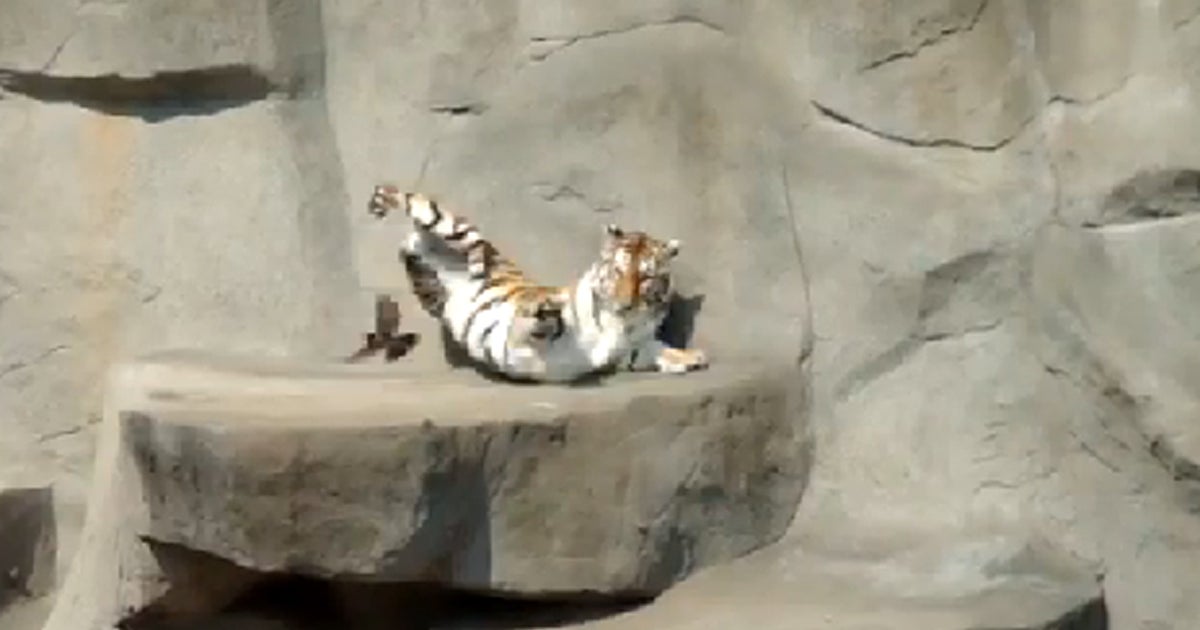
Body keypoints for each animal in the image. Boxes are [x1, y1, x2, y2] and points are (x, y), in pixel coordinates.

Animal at [367, 184, 709, 383]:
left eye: (646, 277)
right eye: (617, 272)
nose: (625, 305)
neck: (621, 323)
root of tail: (421, 243)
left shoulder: (630, 349)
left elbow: (658, 350)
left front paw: (690, 357)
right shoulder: (522, 337)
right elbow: (535, 324)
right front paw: (544, 311)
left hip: (426, 281)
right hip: (447, 223)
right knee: (419, 205)